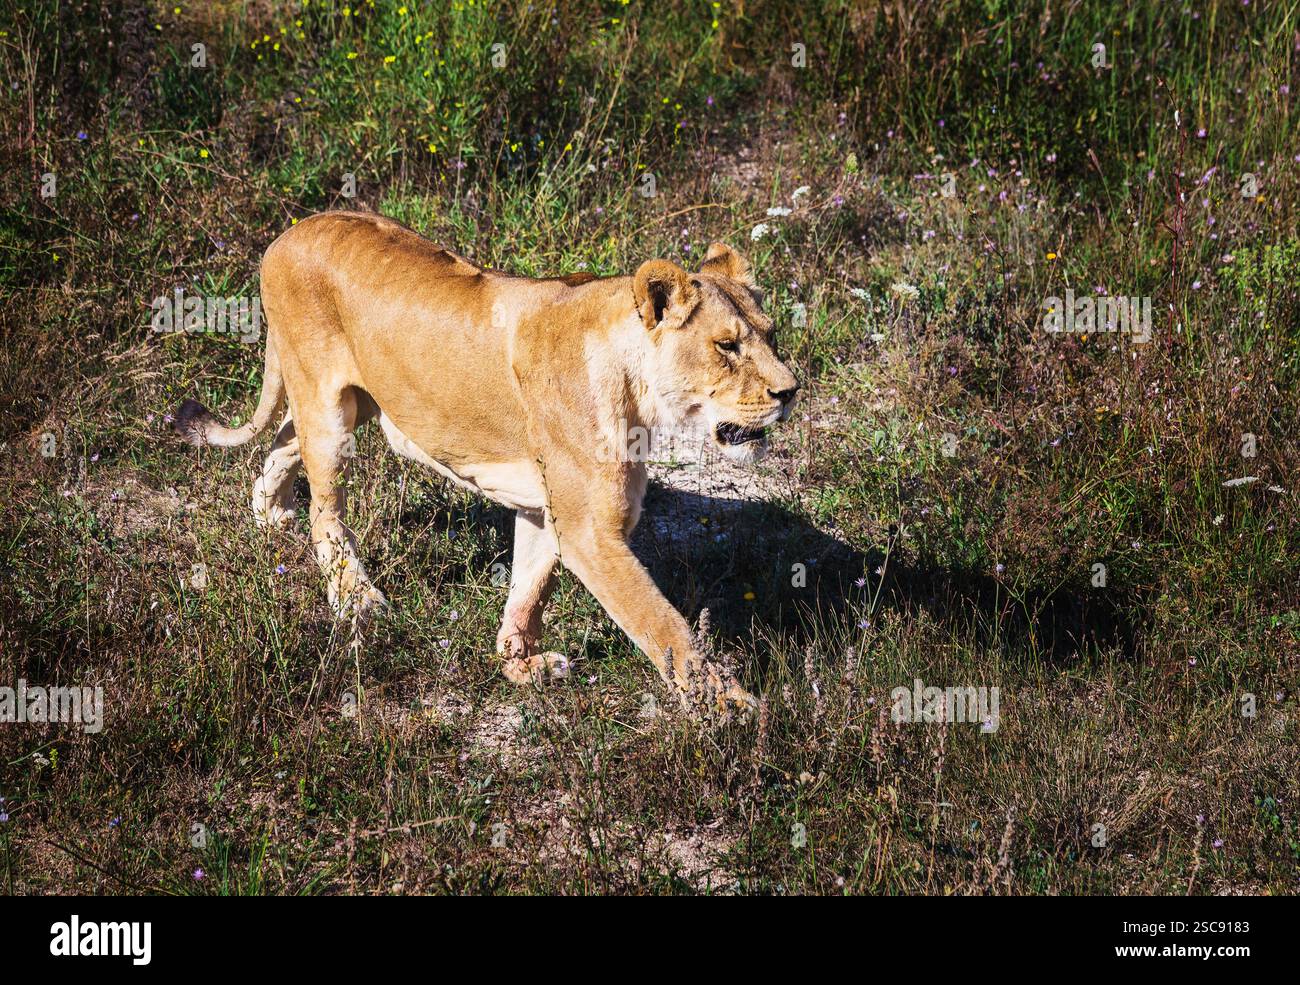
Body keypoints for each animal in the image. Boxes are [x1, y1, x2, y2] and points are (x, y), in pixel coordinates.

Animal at [175, 211, 798, 716]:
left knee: (283, 442)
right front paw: (733, 710)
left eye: (770, 336)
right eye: (727, 346)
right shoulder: (592, 532)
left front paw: (519, 665)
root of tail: (289, 232)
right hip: (327, 406)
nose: (790, 391)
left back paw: (269, 512)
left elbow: (528, 589)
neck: (635, 384)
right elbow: (663, 626)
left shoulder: (549, 512)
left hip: (354, 401)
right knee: (324, 511)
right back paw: (356, 601)